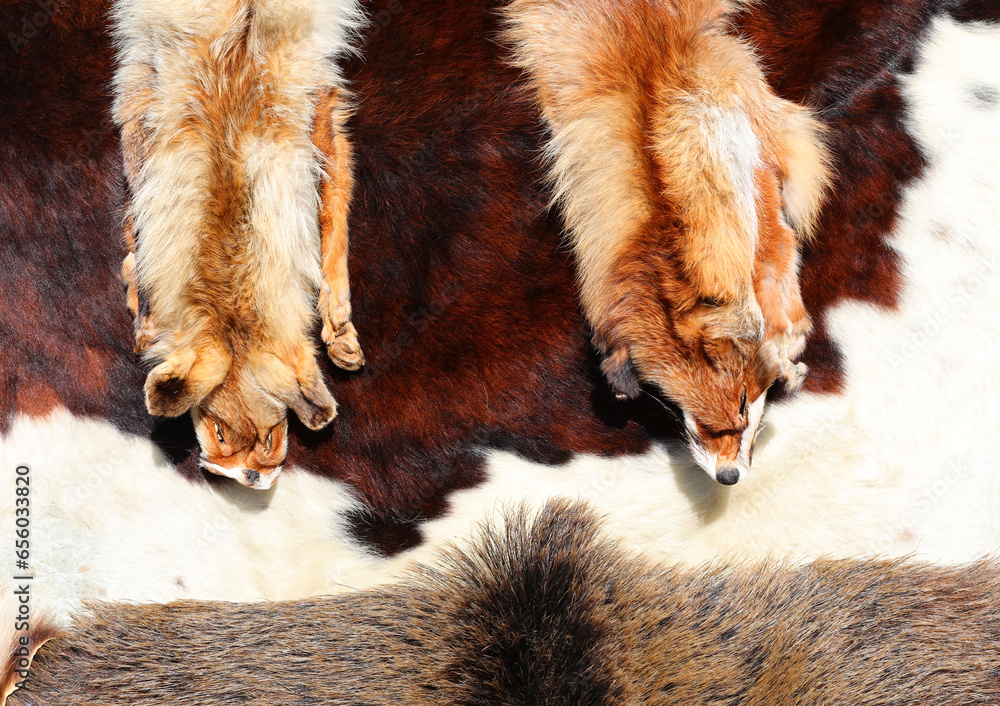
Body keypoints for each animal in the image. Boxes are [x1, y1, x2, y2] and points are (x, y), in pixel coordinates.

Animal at [112, 0, 365, 488]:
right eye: (220, 432)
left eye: (267, 439)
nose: (249, 477)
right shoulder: (141, 106)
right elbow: (136, 234)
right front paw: (142, 313)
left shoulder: (322, 116)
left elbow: (334, 235)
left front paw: (340, 327)